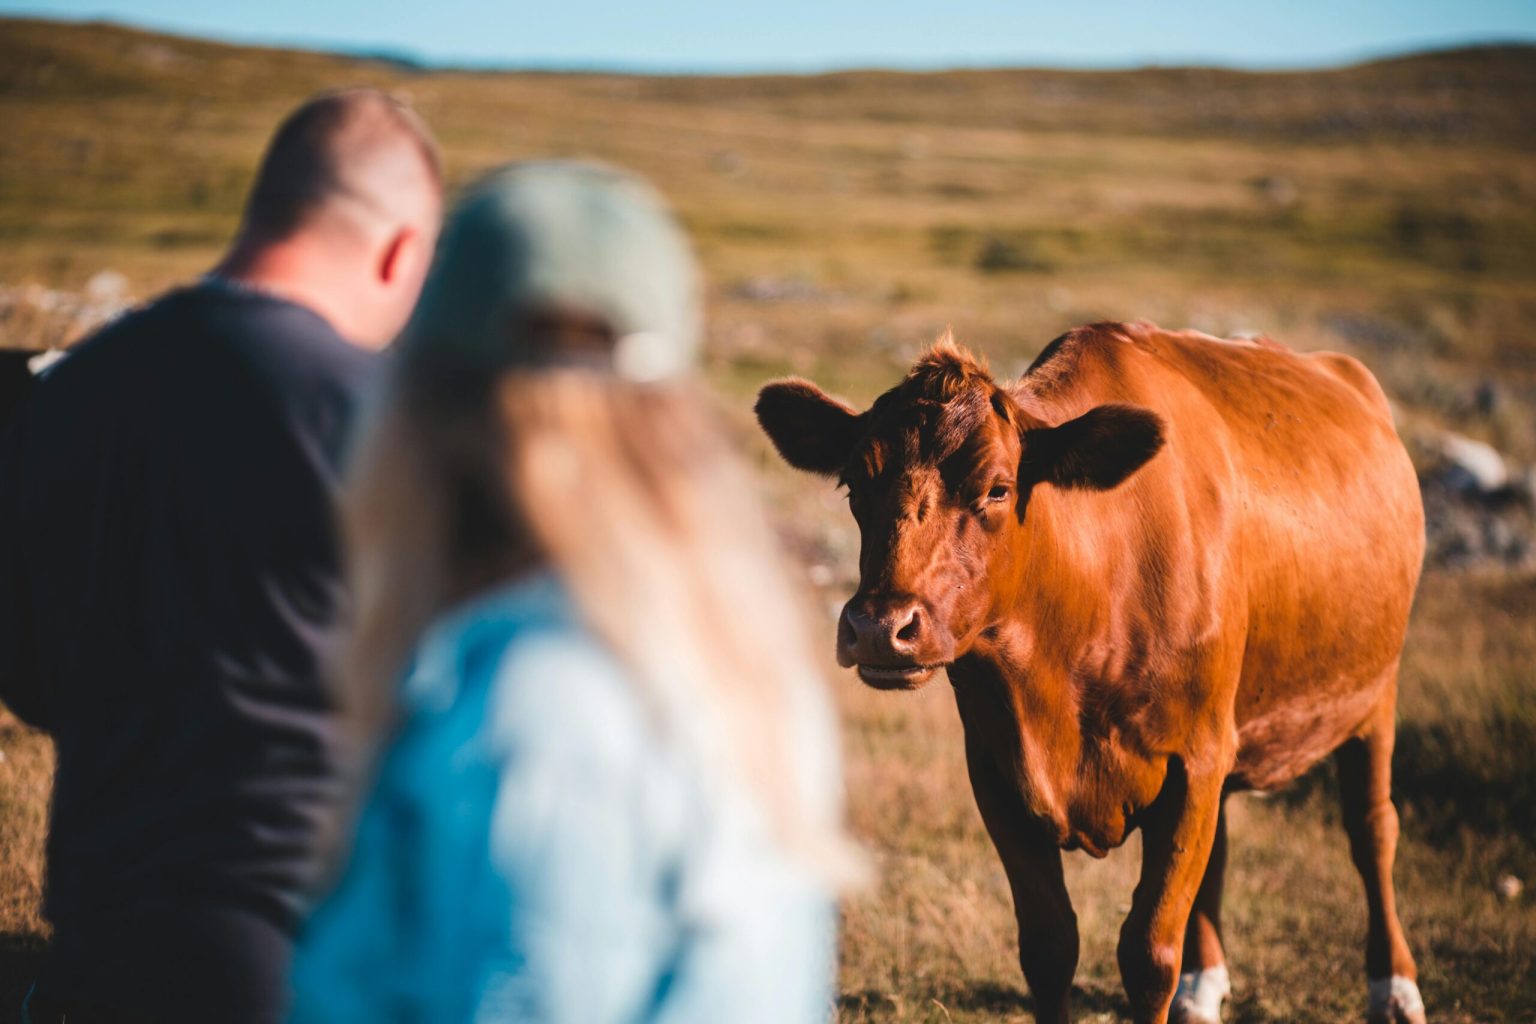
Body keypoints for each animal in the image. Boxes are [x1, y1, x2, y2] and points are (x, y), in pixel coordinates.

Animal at [755, 322, 1426, 1024]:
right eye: (854, 487)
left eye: (997, 488)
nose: (881, 627)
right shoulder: (996, 768)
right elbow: (1049, 946)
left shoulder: (1193, 760)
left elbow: (1149, 953)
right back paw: (1204, 985)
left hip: (1373, 696)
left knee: (1373, 830)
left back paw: (1394, 985)